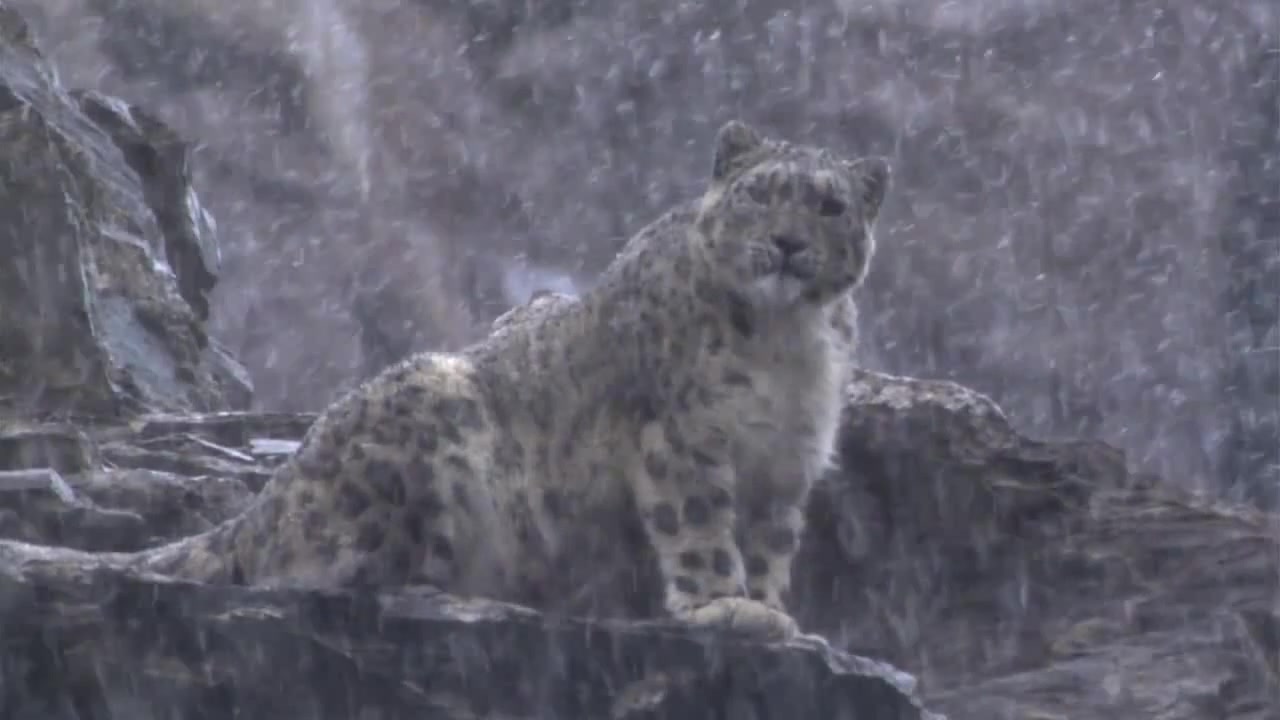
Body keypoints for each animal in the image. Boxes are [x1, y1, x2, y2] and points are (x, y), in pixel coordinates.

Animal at [127, 119, 891, 642]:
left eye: (830, 206)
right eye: (760, 193)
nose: (788, 243)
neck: (786, 344)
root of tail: (264, 504)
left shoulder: (786, 460)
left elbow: (770, 543)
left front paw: (768, 606)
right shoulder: (684, 434)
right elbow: (699, 521)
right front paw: (722, 605)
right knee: (331, 569)